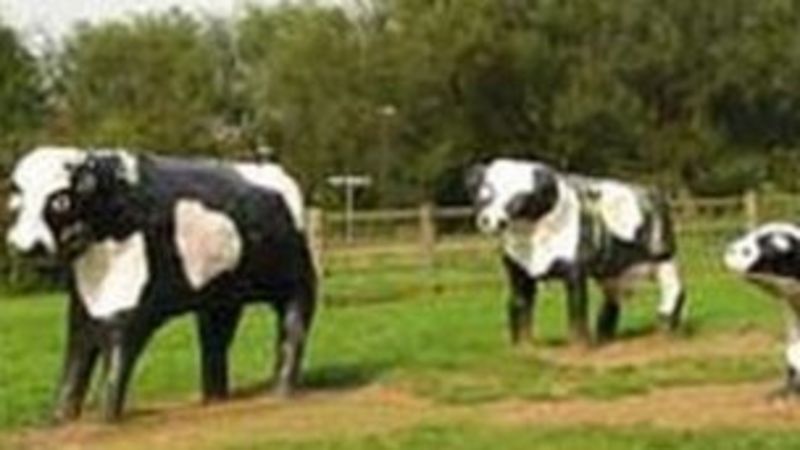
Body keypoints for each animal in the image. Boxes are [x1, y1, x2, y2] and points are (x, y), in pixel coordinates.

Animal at [6, 146, 317, 422]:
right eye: (18, 202)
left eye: (60, 201)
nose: (23, 245)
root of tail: (275, 170)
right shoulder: (84, 316)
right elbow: (74, 367)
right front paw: (59, 418)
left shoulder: (130, 314)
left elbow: (116, 362)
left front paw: (105, 419)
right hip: (221, 298)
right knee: (215, 339)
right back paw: (214, 400)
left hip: (297, 281)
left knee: (293, 328)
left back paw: (280, 392)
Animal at [466, 158, 686, 345]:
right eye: (484, 195)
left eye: (519, 199)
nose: (489, 219)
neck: (532, 241)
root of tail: (652, 192)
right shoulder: (517, 269)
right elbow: (519, 303)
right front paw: (523, 347)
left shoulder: (575, 267)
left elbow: (577, 306)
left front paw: (580, 347)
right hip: (611, 271)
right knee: (613, 300)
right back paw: (603, 337)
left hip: (663, 256)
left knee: (674, 289)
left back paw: (665, 331)